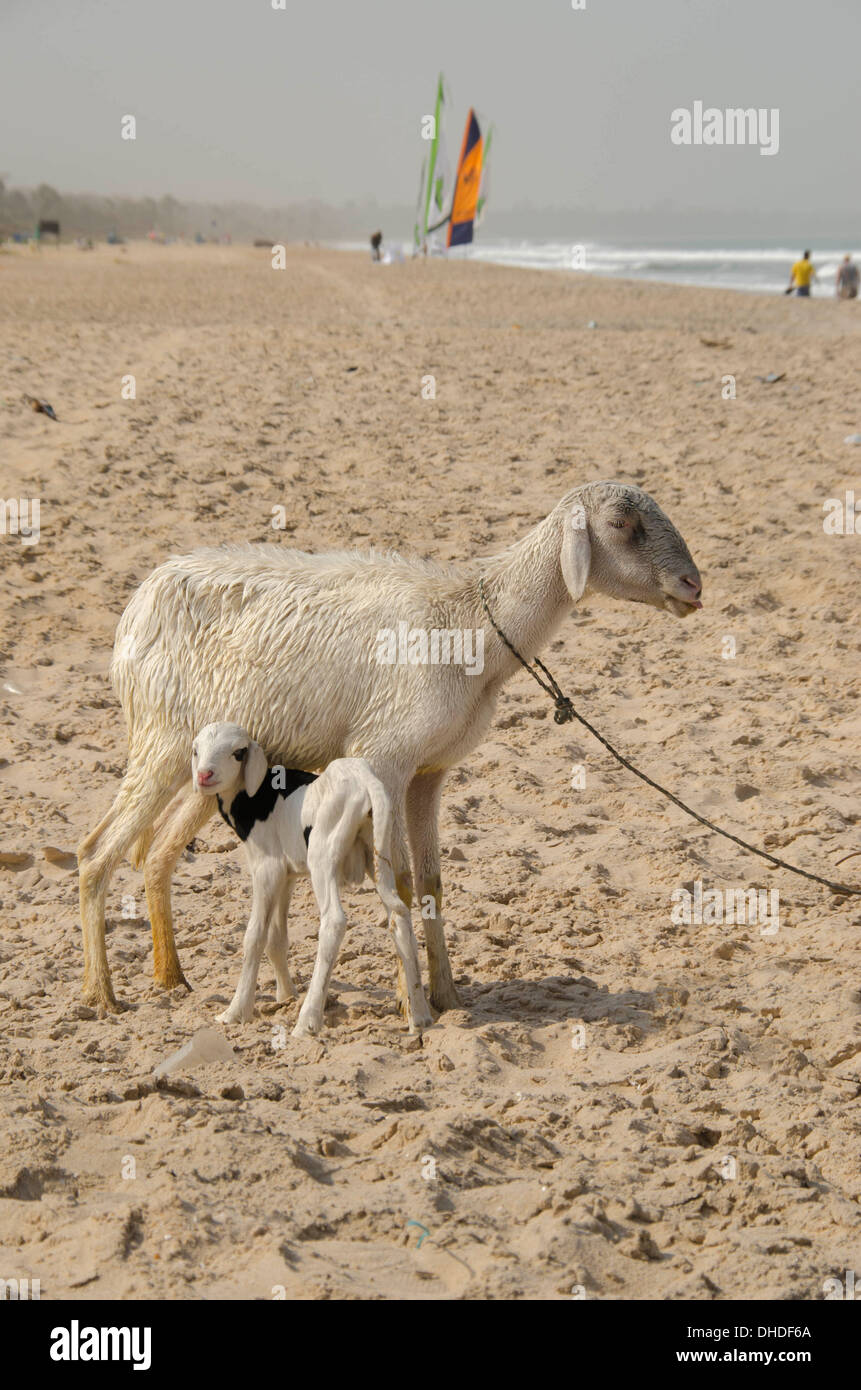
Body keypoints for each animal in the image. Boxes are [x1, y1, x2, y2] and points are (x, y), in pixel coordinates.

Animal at [190, 722, 432, 1036]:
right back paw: (420, 1015)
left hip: (322, 856)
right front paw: (285, 995)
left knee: (334, 921)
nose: (204, 775)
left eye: (238, 752)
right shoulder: (288, 874)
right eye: (196, 750)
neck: (257, 797)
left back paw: (307, 1021)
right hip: (380, 854)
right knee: (400, 913)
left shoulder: (267, 868)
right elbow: (277, 936)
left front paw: (235, 1012)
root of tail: (367, 782)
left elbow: (255, 935)